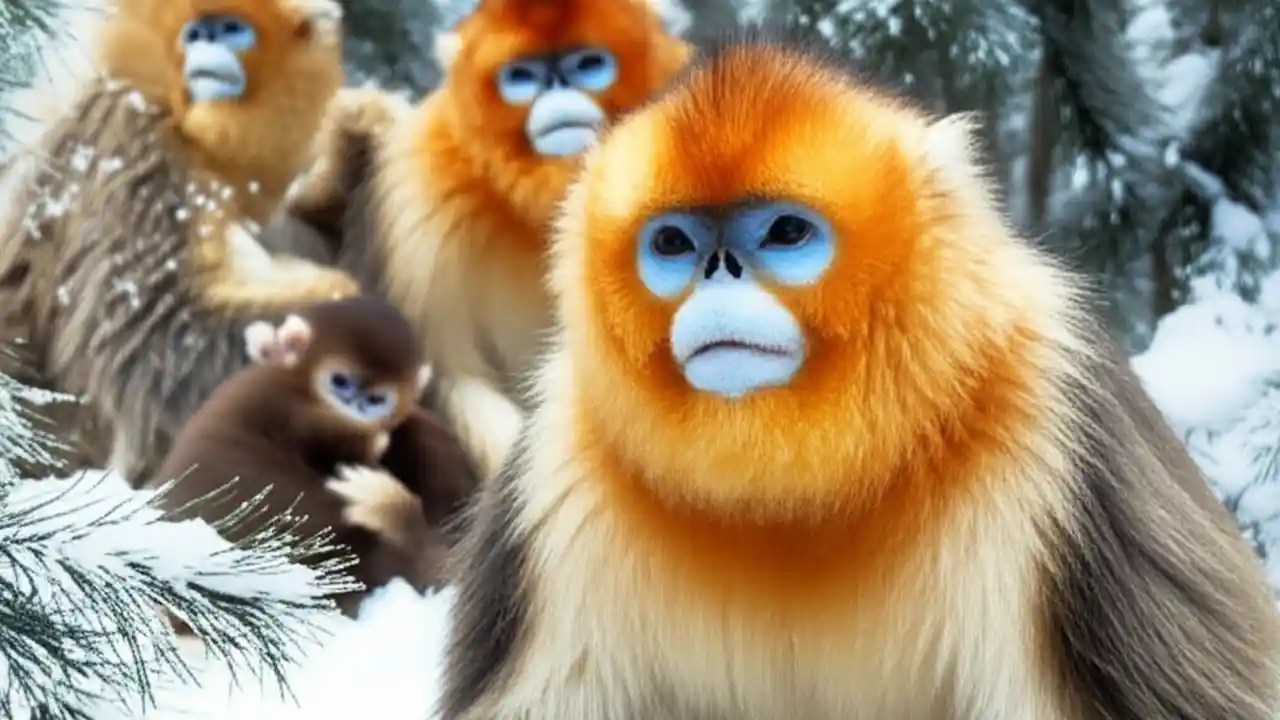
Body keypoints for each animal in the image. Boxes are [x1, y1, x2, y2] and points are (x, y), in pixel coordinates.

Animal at [439, 38, 1280, 720]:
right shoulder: (556, 468)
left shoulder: (1059, 416)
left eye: (786, 232)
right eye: (673, 243)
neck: (796, 498)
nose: (719, 269)